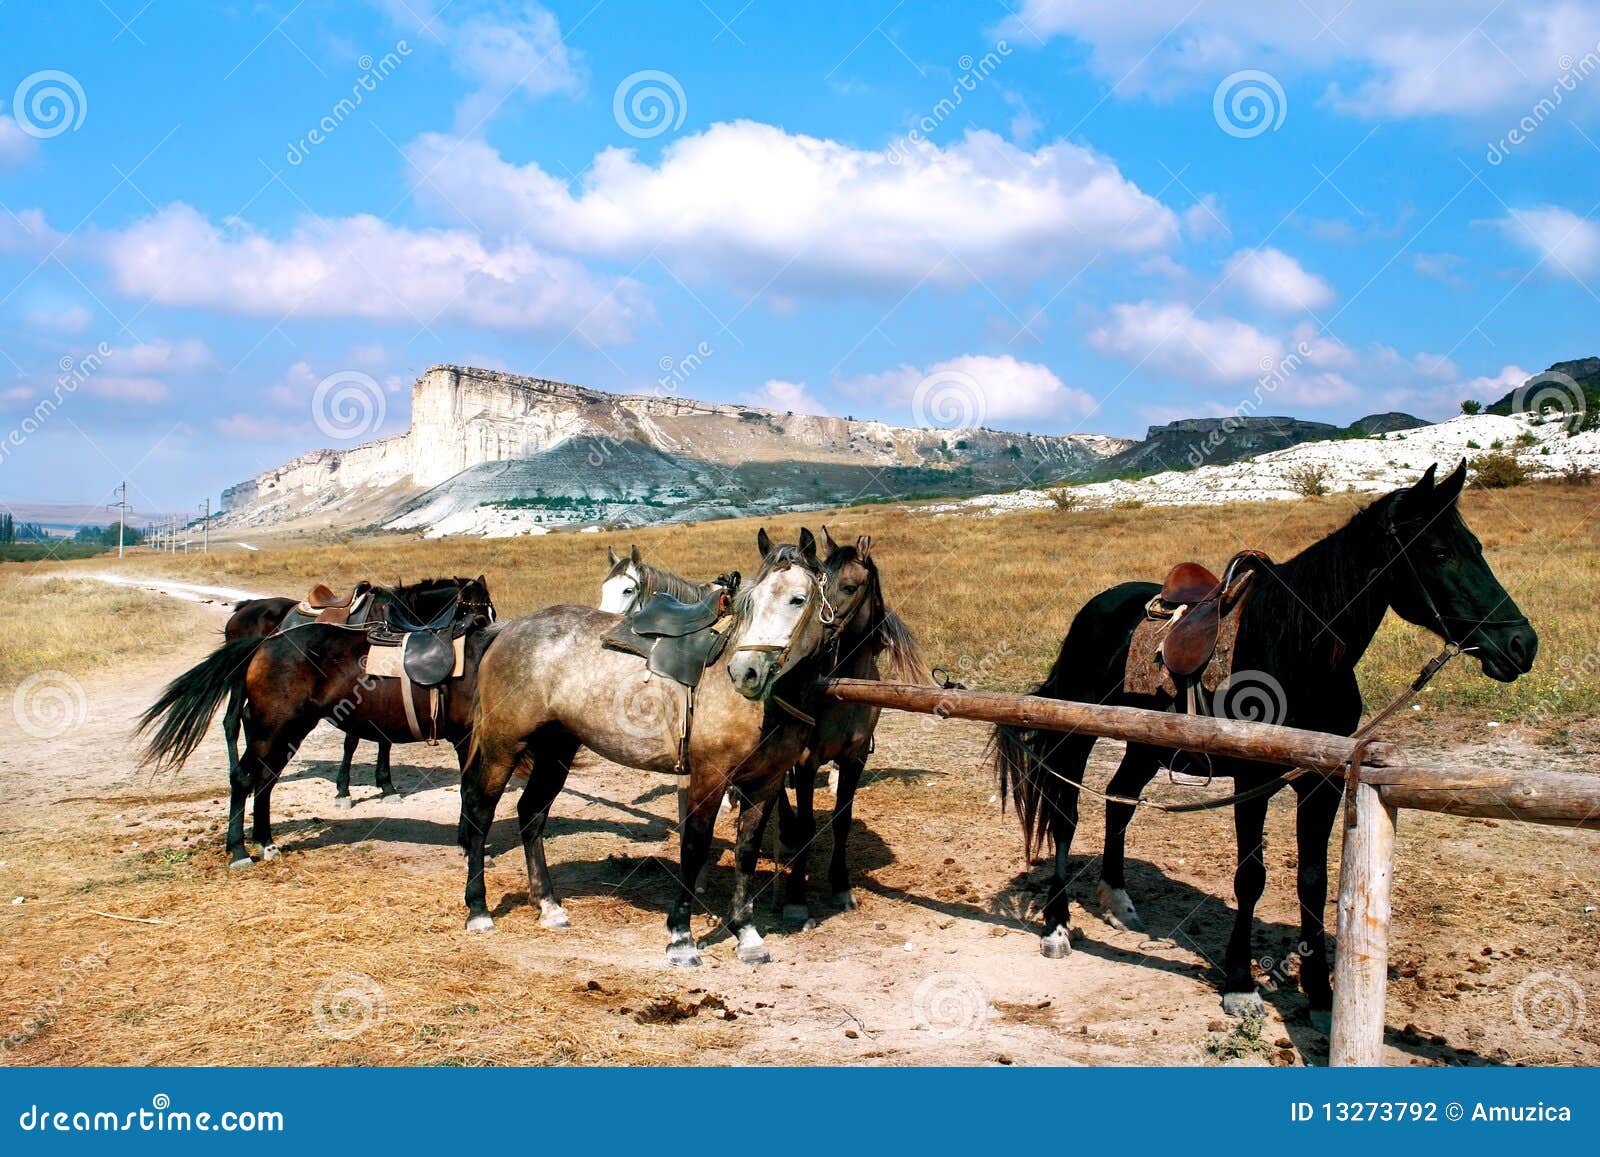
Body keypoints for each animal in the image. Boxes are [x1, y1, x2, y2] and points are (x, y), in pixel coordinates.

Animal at [137, 577, 497, 868]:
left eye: (488, 611)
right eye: (469, 608)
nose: (482, 623)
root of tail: (264, 643)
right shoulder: (466, 739)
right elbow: (468, 790)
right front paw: (471, 848)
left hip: (290, 730)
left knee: (265, 779)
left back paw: (266, 843)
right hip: (271, 729)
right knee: (242, 776)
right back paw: (239, 851)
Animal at [460, 529, 833, 966]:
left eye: (798, 599)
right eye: (751, 601)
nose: (746, 673)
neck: (770, 701)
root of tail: (508, 629)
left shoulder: (766, 783)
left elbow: (746, 851)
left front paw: (747, 934)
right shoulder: (709, 776)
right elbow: (695, 847)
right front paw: (681, 937)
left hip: (556, 749)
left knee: (531, 814)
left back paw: (549, 906)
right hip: (503, 747)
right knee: (480, 813)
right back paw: (479, 911)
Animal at [764, 524, 927, 923]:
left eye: (851, 587)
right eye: (819, 583)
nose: (816, 637)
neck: (843, 689)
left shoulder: (855, 758)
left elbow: (842, 819)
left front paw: (840, 884)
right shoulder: (806, 761)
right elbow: (809, 824)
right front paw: (796, 897)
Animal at [990, 463, 1538, 1028]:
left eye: (1474, 546)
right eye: (1439, 553)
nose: (1522, 644)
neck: (1299, 650)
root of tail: (1095, 609)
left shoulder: (1321, 783)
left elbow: (1314, 880)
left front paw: (1319, 992)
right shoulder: (1252, 781)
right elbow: (1249, 877)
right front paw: (1240, 984)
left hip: (1145, 745)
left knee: (1120, 802)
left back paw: (1119, 903)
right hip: (1075, 735)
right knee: (1065, 815)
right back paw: (1056, 926)